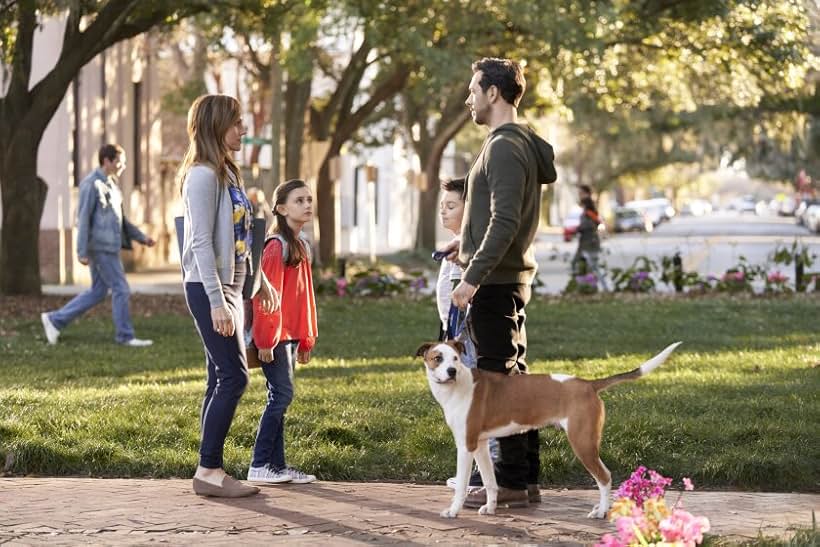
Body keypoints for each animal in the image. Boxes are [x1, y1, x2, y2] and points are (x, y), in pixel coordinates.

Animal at [414, 340, 684, 520]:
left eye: (455, 359)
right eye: (438, 358)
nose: (451, 371)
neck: (458, 386)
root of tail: (589, 385)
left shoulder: (465, 446)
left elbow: (460, 485)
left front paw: (452, 510)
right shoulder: (479, 445)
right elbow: (491, 482)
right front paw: (490, 508)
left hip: (582, 442)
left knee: (605, 476)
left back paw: (601, 512)